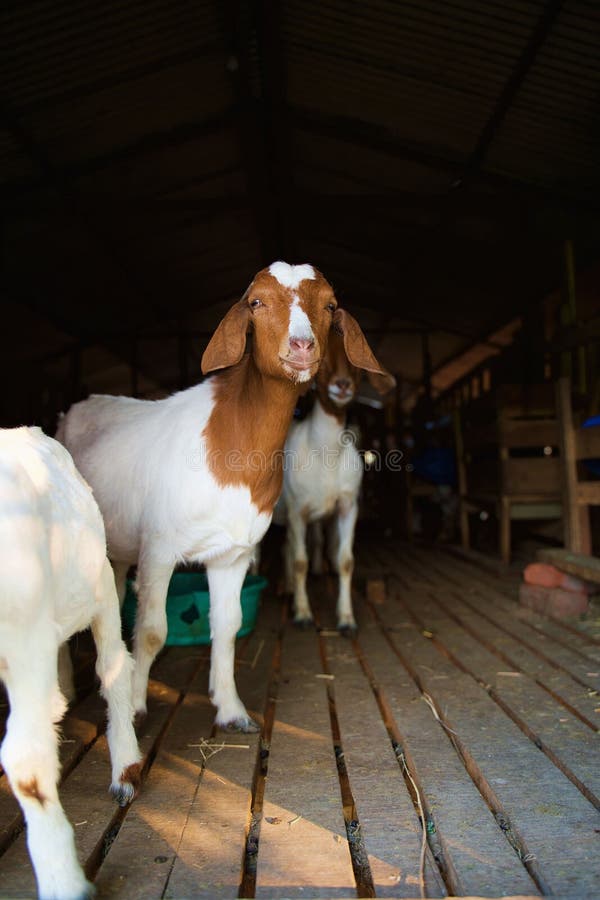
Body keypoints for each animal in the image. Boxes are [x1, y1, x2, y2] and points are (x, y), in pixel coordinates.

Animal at [0, 426, 141, 900]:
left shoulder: (23, 640)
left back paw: (125, 766)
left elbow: (25, 763)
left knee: (114, 666)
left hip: (100, 583)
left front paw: (63, 880)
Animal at [277, 330, 395, 632]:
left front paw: (346, 619)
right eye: (321, 356)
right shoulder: (297, 510)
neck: (326, 456)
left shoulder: (347, 506)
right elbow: (300, 562)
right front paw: (303, 614)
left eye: (357, 361)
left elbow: (345, 561)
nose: (342, 385)